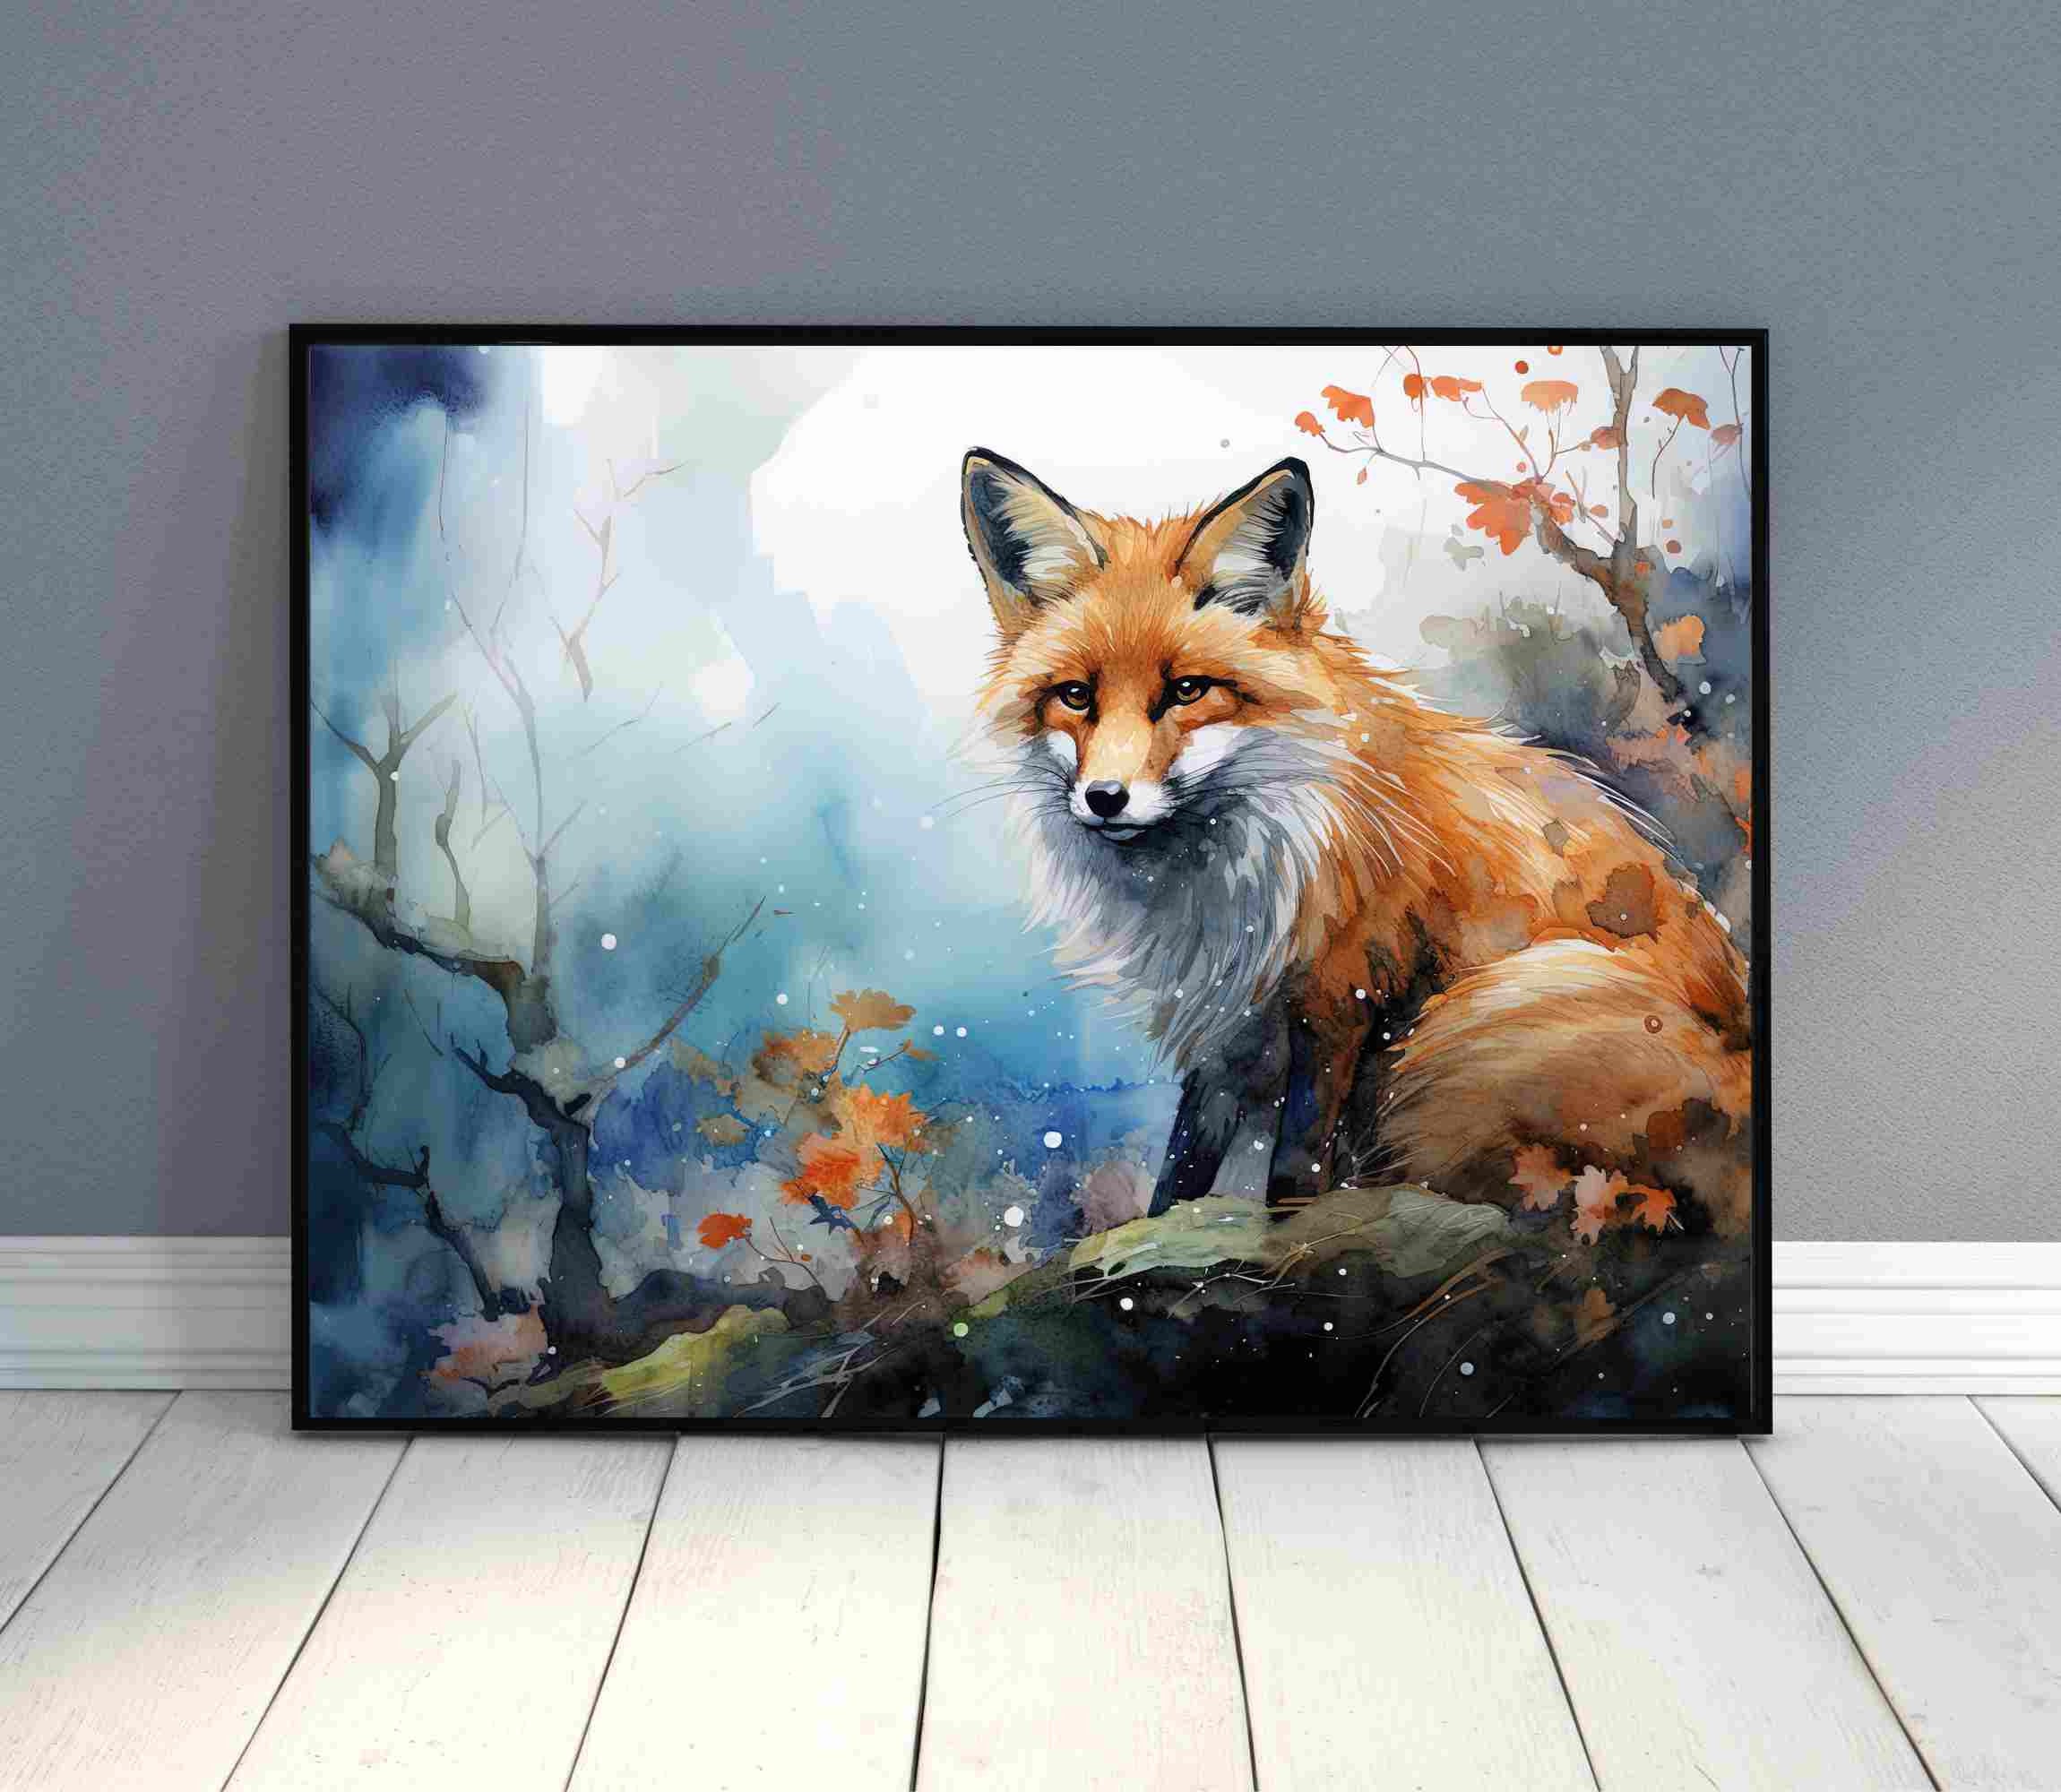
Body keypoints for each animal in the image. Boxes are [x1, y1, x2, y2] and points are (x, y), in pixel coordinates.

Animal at [962, 447, 1753, 1239]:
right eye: (1075, 696)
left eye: (1188, 690)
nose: (1105, 799)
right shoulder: (1226, 1021)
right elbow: (1182, 1170)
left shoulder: (1342, 994)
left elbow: (1296, 1168)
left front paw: (1287, 1240)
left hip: (1476, 1018)